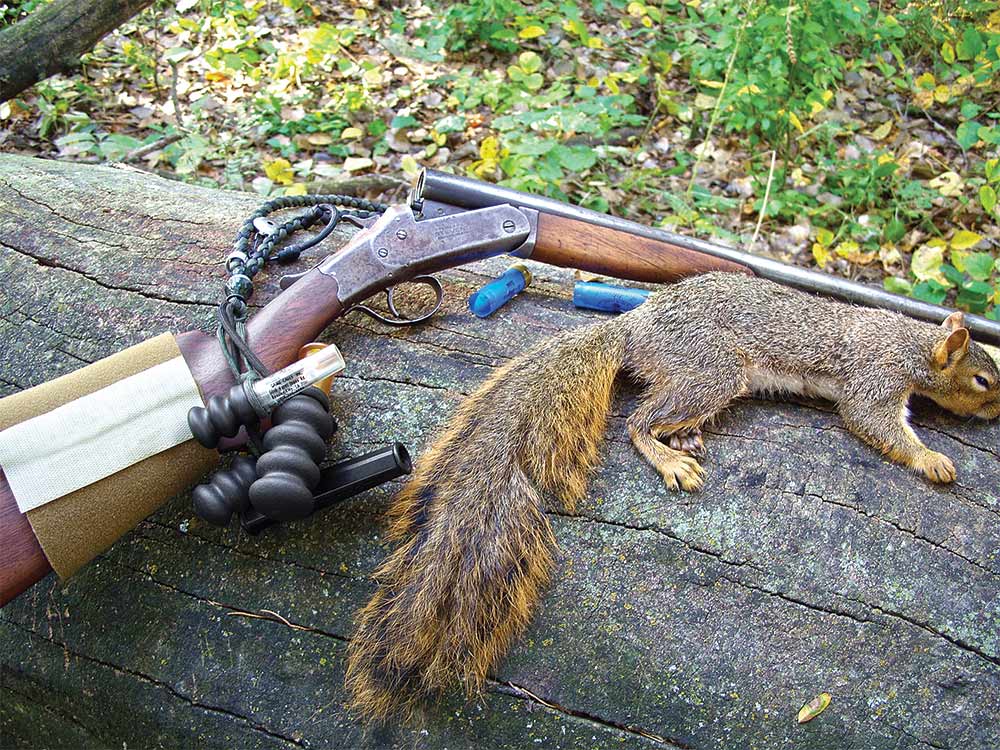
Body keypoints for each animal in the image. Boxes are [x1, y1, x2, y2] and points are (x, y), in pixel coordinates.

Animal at [345, 271, 1000, 720]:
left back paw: (685, 437)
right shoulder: (873, 380)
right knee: (639, 423)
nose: (996, 413)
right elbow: (876, 423)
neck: (910, 344)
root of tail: (637, 324)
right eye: (983, 379)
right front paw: (934, 459)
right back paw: (671, 457)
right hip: (710, 368)